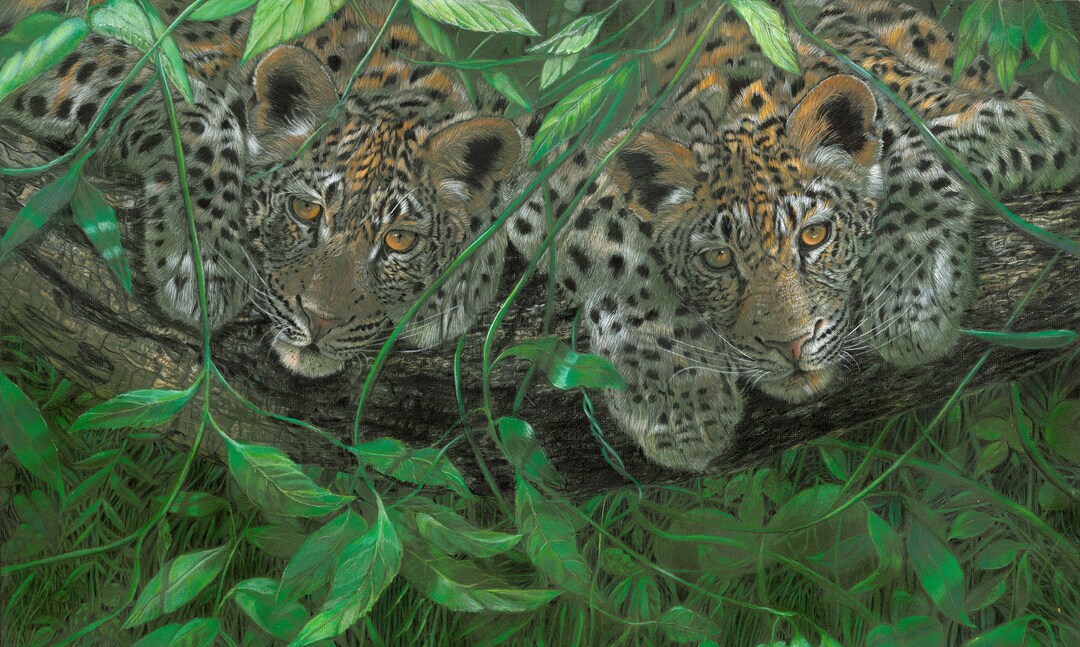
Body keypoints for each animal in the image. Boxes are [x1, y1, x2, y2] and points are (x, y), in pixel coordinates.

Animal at [0, 0, 523, 378]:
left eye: (399, 240)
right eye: (305, 212)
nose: (320, 321)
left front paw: (456, 290)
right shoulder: (71, 40)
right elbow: (200, 109)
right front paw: (203, 263)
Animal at [509, 0, 1080, 471]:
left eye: (815, 236)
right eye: (718, 259)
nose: (790, 346)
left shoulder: (1027, 118)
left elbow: (921, 153)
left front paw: (908, 299)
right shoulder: (540, 184)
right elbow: (607, 234)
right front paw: (677, 397)